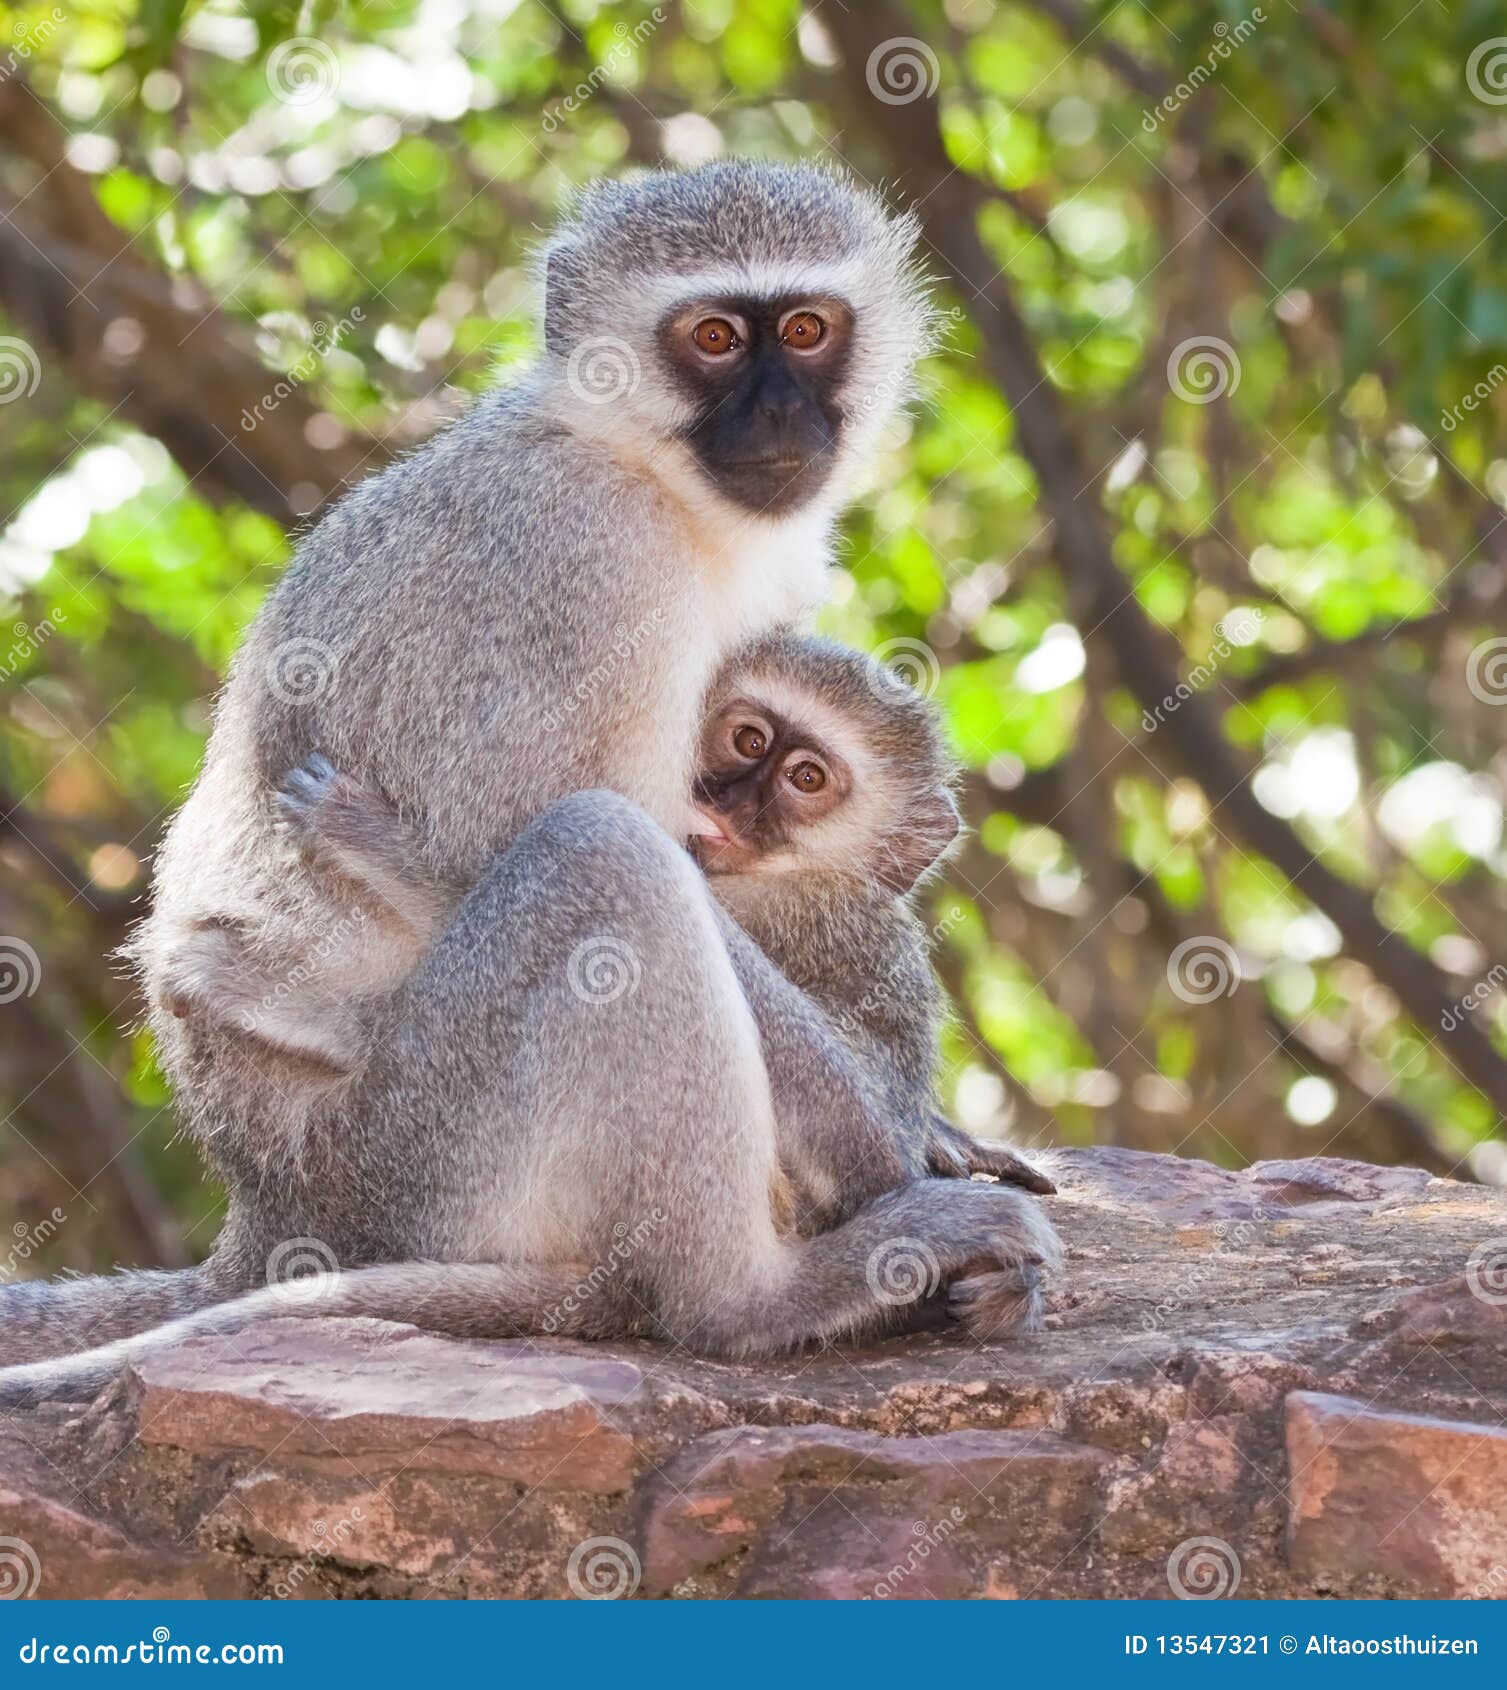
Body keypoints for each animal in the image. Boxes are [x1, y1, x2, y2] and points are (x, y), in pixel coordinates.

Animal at [0, 161, 939, 1365]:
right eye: (716, 337)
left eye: (809, 329)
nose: (780, 412)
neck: (642, 470)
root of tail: (262, 1211)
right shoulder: (592, 563)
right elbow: (537, 832)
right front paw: (888, 1148)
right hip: (412, 1158)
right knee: (601, 856)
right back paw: (756, 1302)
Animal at [0, 641, 1060, 1406]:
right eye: (746, 739)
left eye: (805, 779)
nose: (722, 799)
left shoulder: (820, 918)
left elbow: (868, 1108)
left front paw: (380, 858)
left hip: (426, 1159)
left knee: (597, 849)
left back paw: (752, 1304)